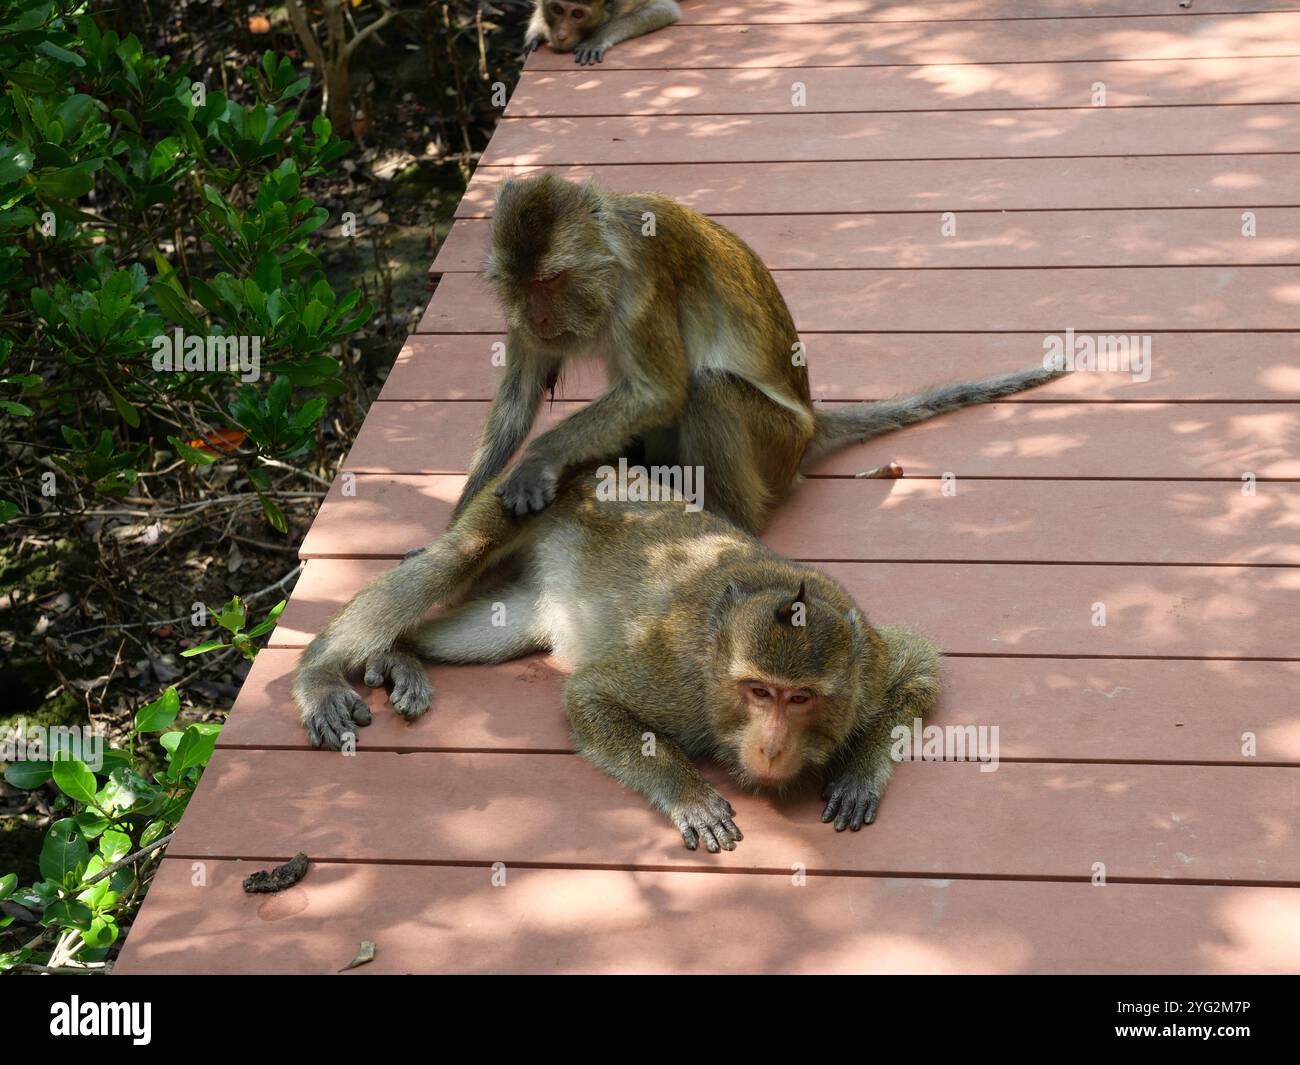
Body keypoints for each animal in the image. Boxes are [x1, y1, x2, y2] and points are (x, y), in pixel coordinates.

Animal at [294, 460, 941, 850]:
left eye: (800, 698)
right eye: (759, 692)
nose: (773, 746)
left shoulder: (868, 662)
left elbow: (923, 665)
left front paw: (859, 772)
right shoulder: (680, 679)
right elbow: (591, 696)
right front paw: (688, 794)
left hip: (534, 600)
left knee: (497, 629)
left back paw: (400, 653)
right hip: (507, 506)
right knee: (452, 560)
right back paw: (320, 676)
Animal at [456, 174, 1065, 536]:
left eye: (552, 280)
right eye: (520, 286)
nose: (539, 320)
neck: (607, 257)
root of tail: (811, 422)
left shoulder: (642, 282)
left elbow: (660, 392)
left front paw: (538, 459)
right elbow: (518, 398)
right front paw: (460, 516)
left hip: (778, 444)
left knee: (708, 390)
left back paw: (729, 525)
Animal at [524, 0, 681, 65]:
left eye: (577, 14)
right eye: (557, 9)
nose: (561, 36)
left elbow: (663, 8)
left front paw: (596, 40)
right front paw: (537, 32)